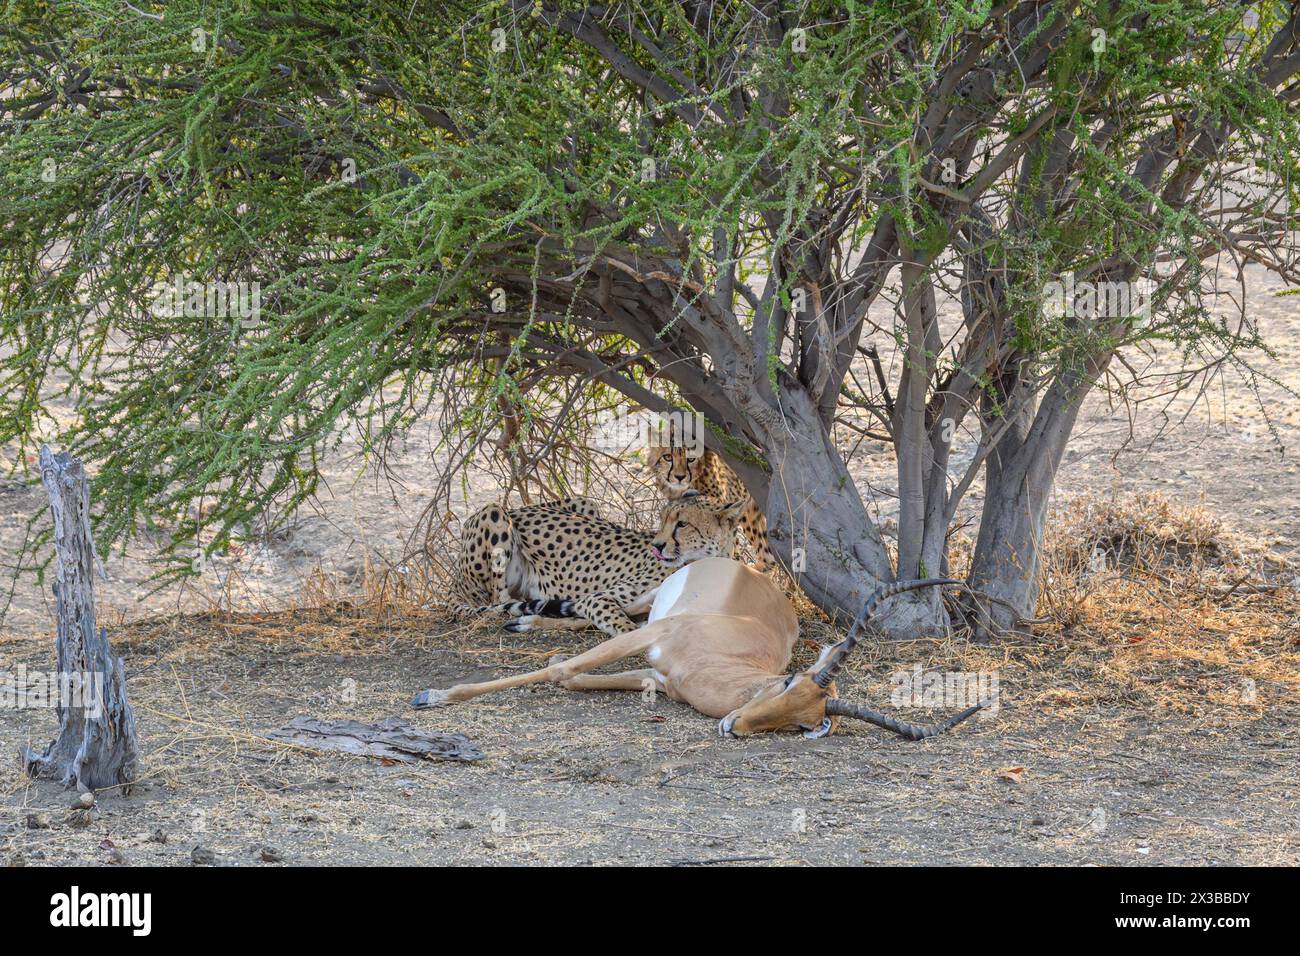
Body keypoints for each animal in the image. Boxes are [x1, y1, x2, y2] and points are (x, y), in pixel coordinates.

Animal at [411, 556, 986, 740]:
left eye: (807, 723)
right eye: (787, 683)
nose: (735, 726)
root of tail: (754, 572)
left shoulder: (659, 679)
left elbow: (572, 676)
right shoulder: (653, 638)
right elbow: (558, 674)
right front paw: (432, 696)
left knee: (589, 618)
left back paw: (527, 626)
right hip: (647, 597)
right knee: (598, 605)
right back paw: (520, 624)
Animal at [448, 491, 747, 637]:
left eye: (682, 524)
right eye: (662, 521)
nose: (657, 545)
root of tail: (517, 508)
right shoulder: (597, 599)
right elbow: (625, 627)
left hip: (585, 503)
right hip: (494, 512)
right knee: (496, 604)